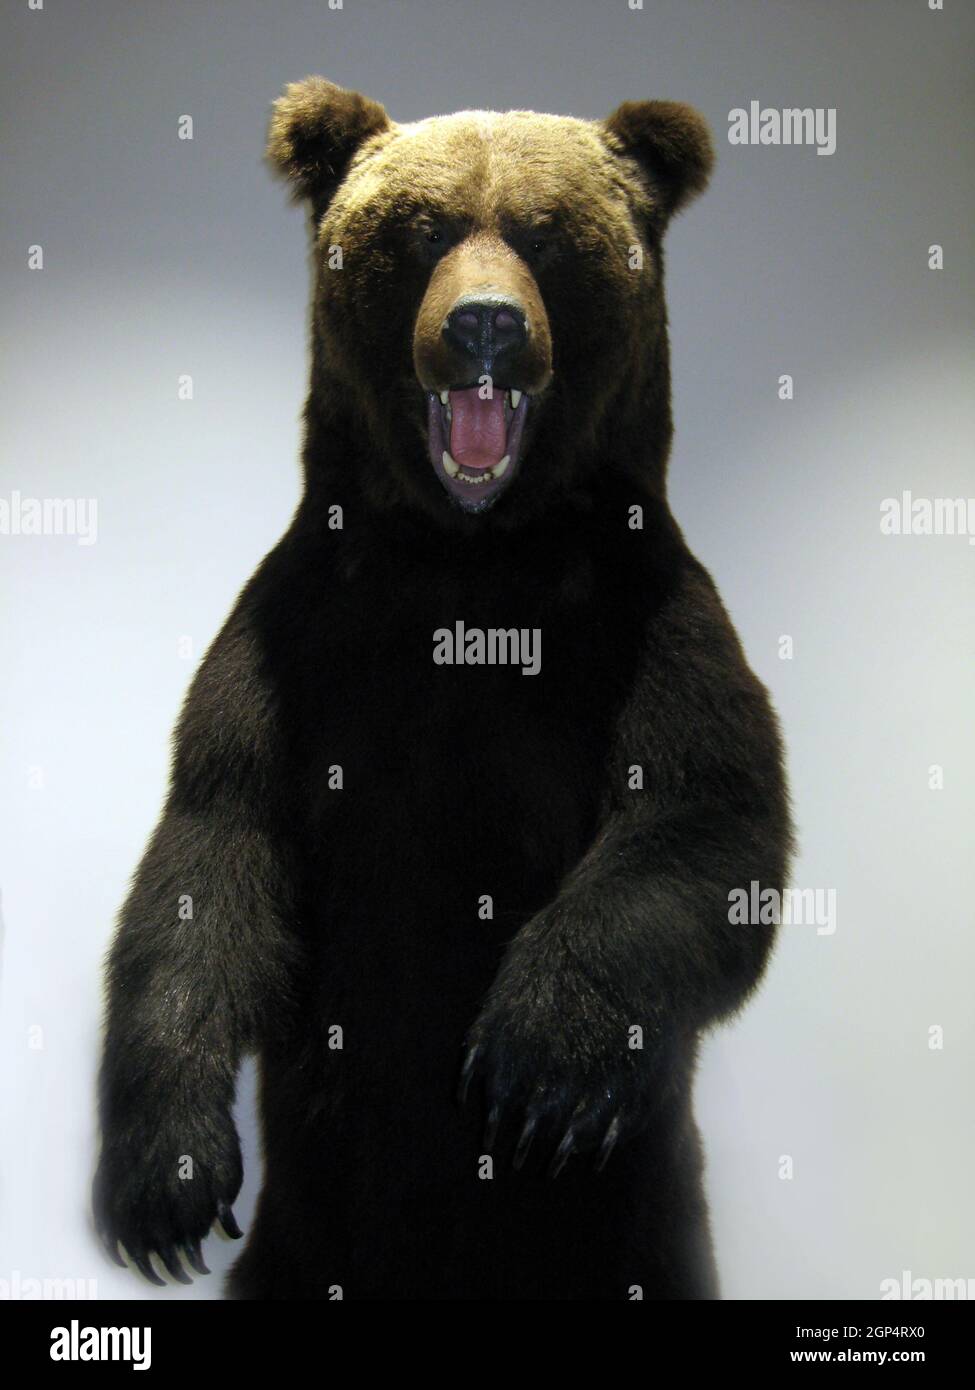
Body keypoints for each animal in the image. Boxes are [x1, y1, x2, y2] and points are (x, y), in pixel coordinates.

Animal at [93, 77, 792, 1301]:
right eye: (421, 228)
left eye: (547, 234)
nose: (485, 325)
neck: (471, 556)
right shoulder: (295, 635)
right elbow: (212, 848)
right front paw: (166, 1184)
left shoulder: (651, 624)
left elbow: (705, 820)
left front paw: (535, 1061)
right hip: (309, 1223)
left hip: (634, 1218)